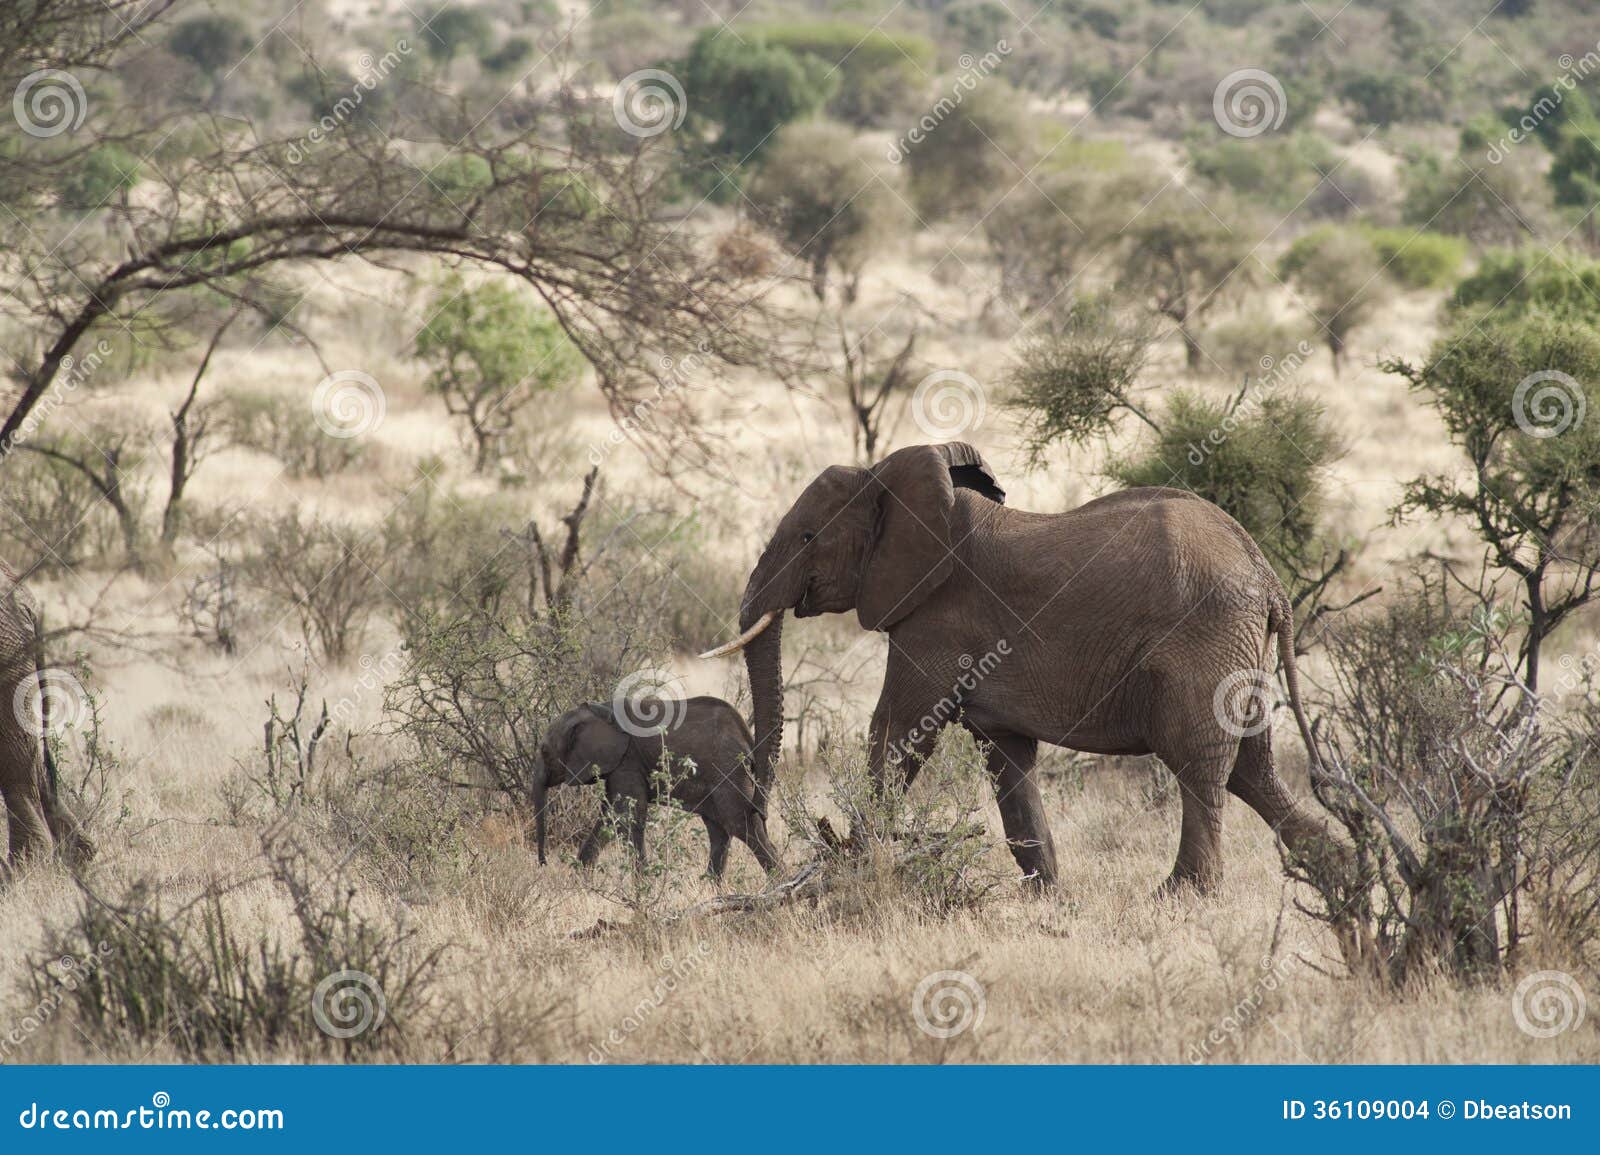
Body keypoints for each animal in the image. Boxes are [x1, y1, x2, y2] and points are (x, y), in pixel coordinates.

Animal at [532, 696, 781, 880]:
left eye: (544, 751)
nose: (543, 863)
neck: (599, 710)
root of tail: (746, 736)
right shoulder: (619, 765)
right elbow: (610, 815)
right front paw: (580, 881)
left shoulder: (627, 761)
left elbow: (628, 815)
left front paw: (643, 884)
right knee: (720, 830)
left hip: (729, 771)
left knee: (742, 825)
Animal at [701, 441, 1337, 895]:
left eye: (809, 536)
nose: (759, 819)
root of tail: (1268, 575)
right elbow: (1006, 757)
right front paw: (1047, 897)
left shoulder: (935, 621)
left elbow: (899, 731)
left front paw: (857, 869)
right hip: (1234, 652)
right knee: (1251, 767)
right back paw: (1340, 866)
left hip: (1206, 640)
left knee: (1200, 763)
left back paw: (1181, 896)